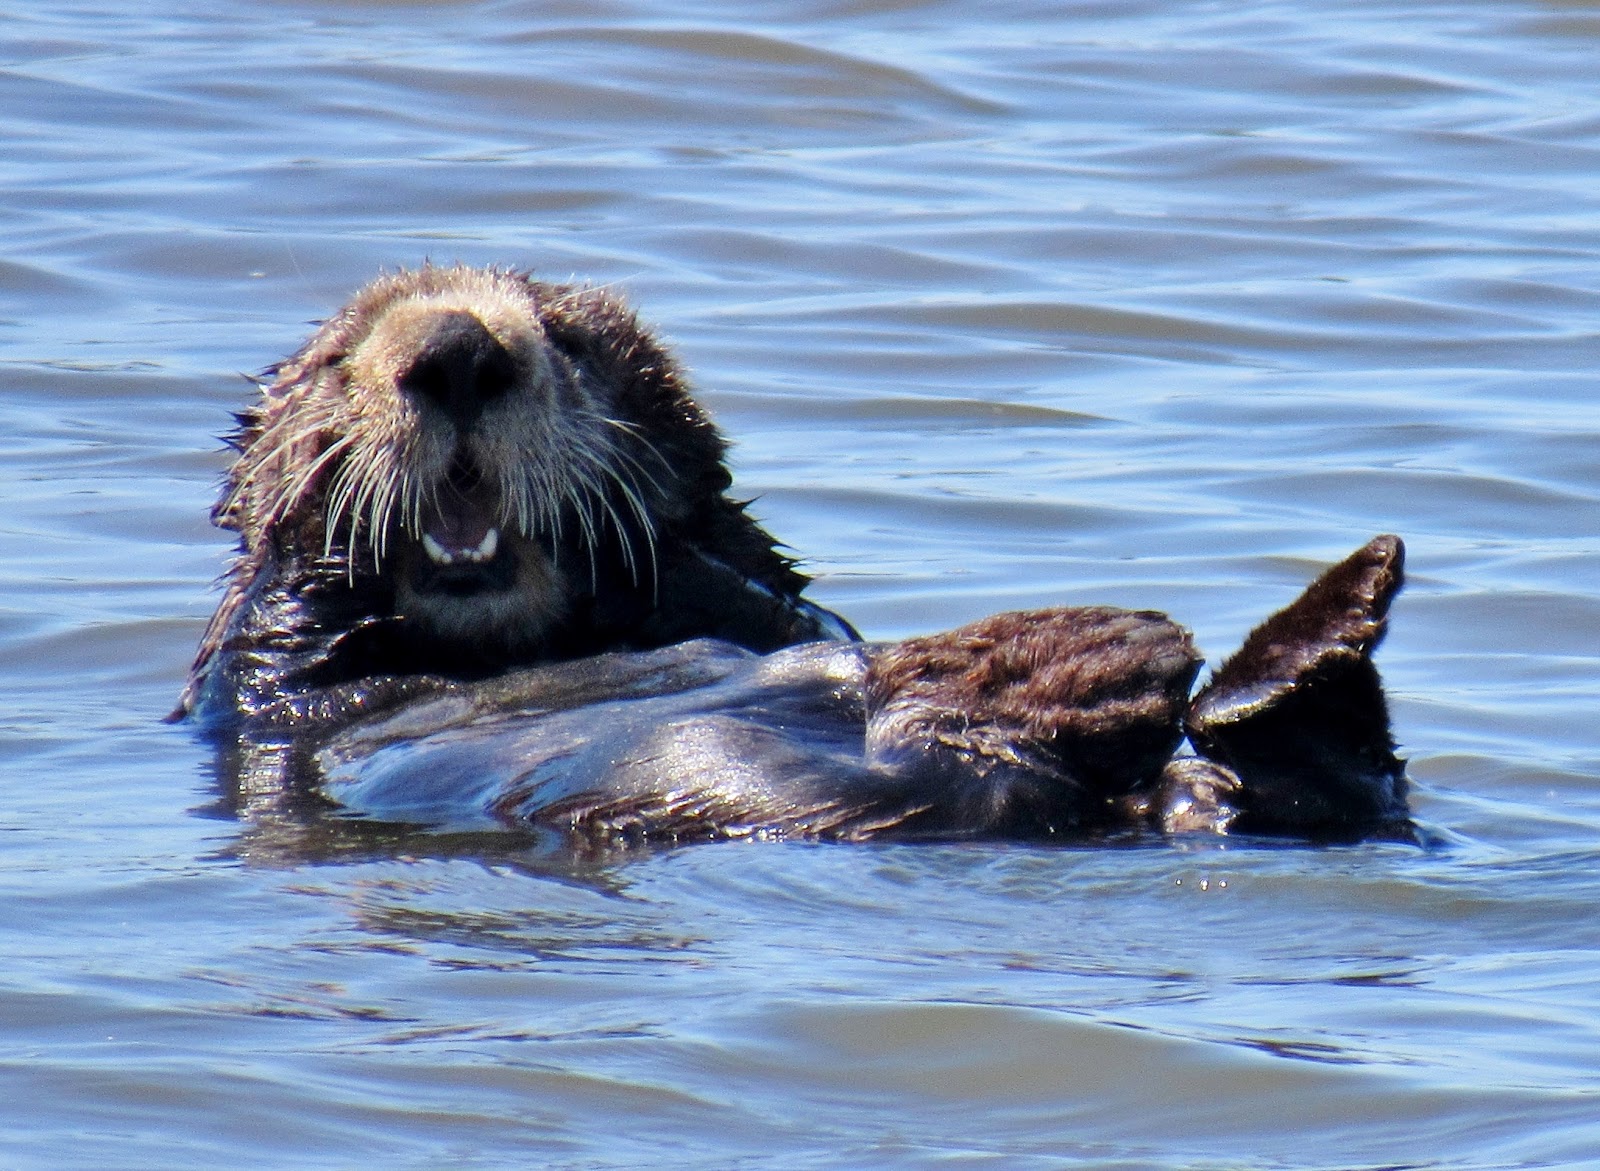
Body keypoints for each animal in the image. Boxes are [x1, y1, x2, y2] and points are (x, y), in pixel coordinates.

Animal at [182, 264, 1411, 844]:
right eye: (339, 359)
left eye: (569, 343)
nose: (453, 351)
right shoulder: (265, 695)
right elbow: (284, 627)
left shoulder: (773, 603)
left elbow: (772, 602)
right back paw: (1107, 654)